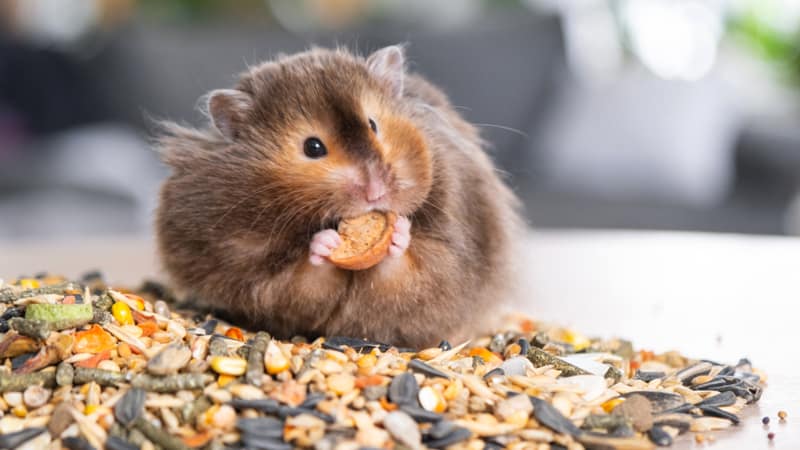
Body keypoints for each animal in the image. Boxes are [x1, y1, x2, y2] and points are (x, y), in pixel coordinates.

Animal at [155, 45, 522, 349]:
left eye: (373, 125)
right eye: (313, 147)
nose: (375, 192)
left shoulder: (451, 256)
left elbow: (414, 270)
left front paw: (398, 234)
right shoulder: (251, 270)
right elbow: (297, 280)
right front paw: (325, 243)